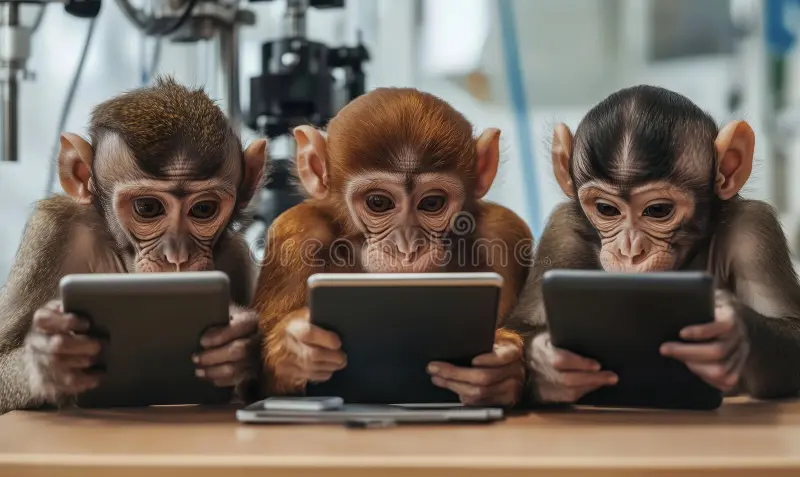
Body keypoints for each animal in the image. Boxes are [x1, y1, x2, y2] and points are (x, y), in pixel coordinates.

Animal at [0, 76, 268, 414]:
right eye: (147, 207)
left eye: (203, 209)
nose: (176, 256)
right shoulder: (50, 232)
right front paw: (48, 358)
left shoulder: (235, 253)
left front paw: (238, 349)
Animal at [253, 87, 534, 407]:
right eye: (379, 202)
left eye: (432, 203)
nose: (407, 246)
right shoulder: (296, 232)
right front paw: (296, 350)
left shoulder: (503, 231)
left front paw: (500, 373)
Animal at [505, 84, 800, 405]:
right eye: (606, 209)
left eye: (658, 210)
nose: (630, 249)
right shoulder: (560, 233)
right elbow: (521, 323)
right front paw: (549, 365)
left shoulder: (754, 230)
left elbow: (790, 323)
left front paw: (732, 335)